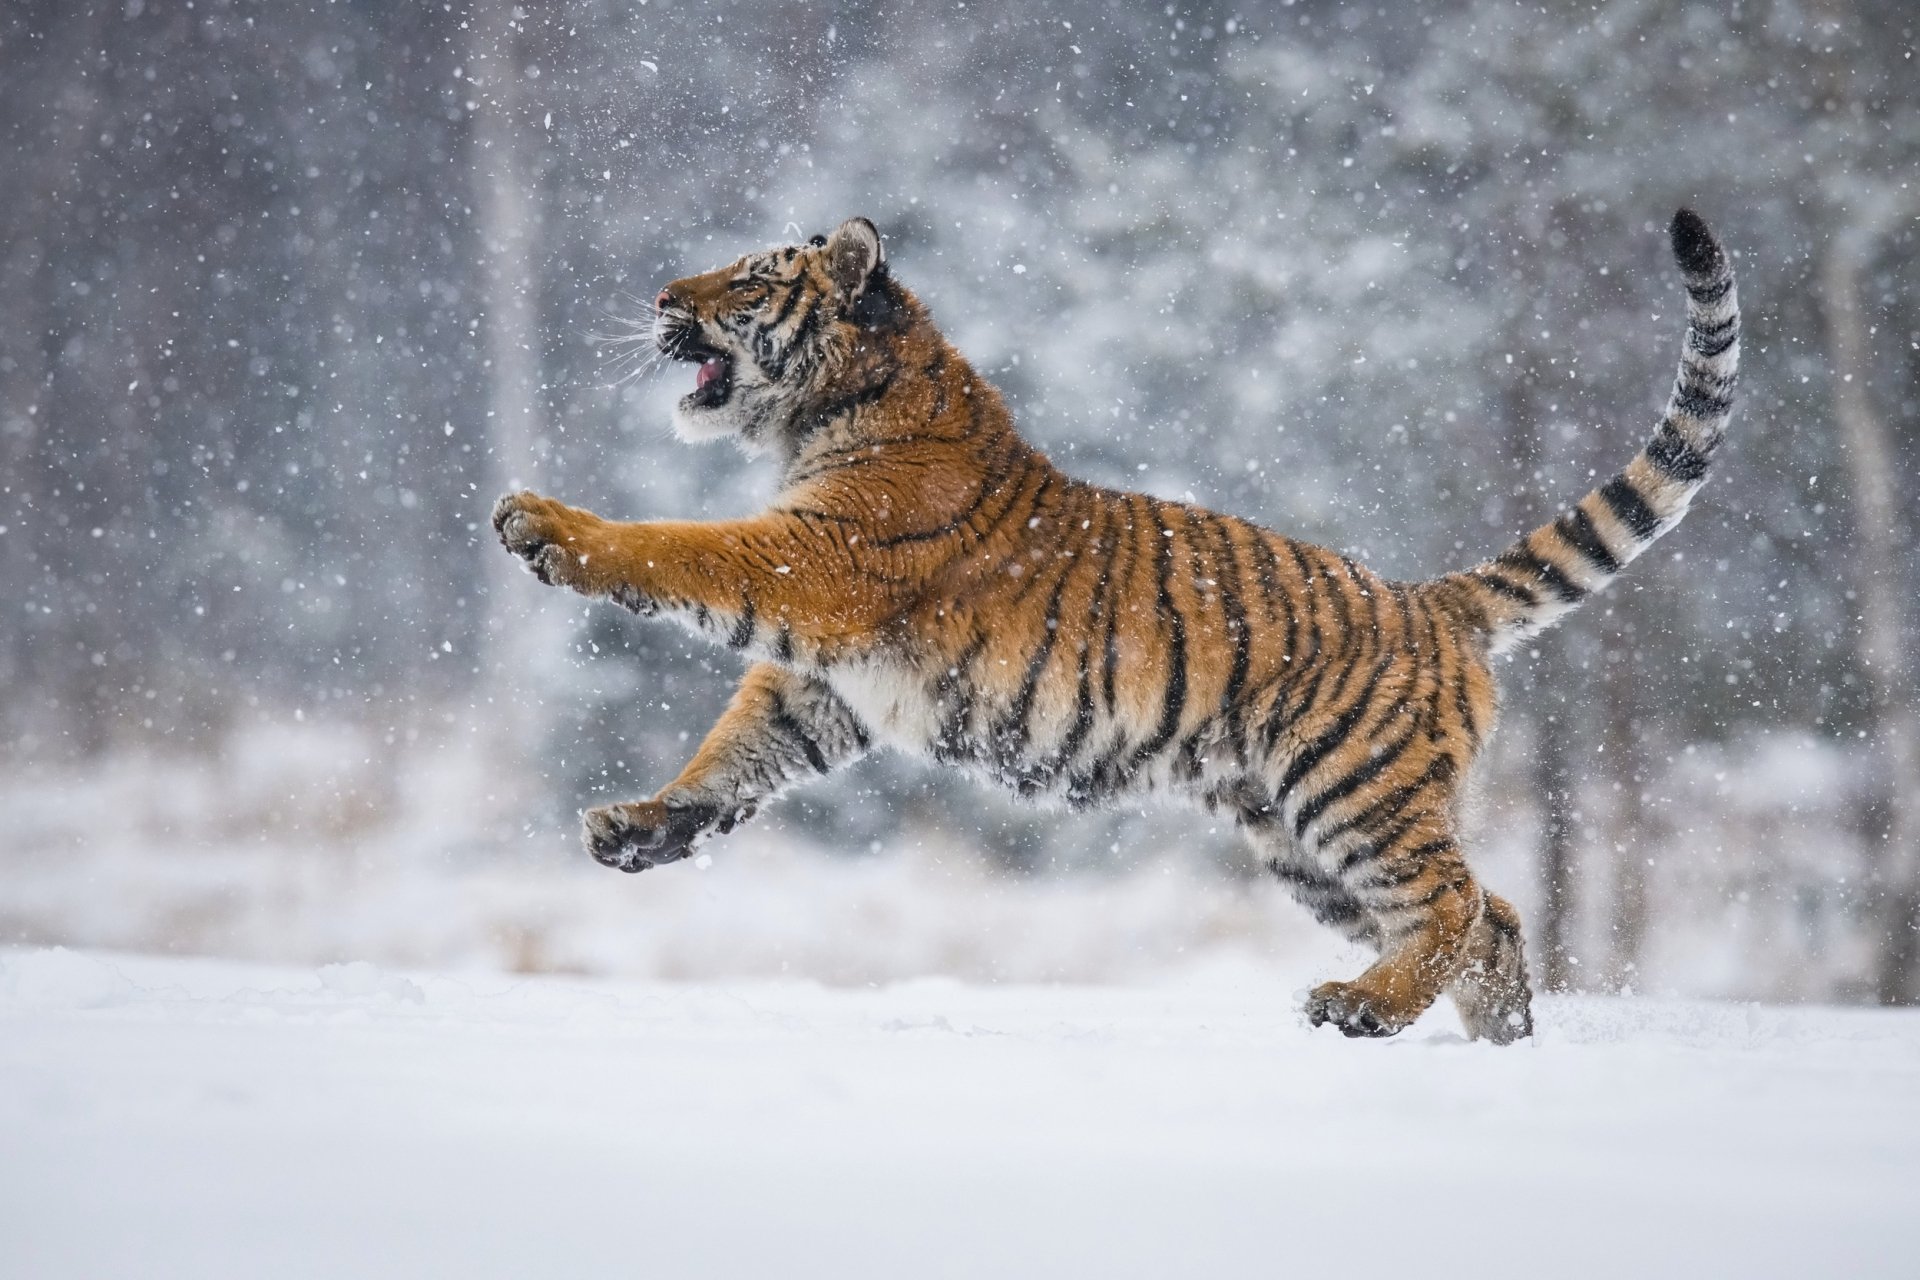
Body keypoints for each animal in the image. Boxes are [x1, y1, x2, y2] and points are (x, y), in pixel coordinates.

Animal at [492, 209, 1739, 1043]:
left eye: (750, 279)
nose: (662, 296)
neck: (831, 411)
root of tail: (1434, 597)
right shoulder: (829, 679)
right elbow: (740, 747)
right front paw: (645, 824)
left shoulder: (815, 565)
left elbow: (674, 548)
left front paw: (545, 523)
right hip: (1302, 839)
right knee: (1497, 912)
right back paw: (1494, 1043)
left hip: (1352, 791)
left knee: (1457, 898)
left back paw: (1362, 1010)